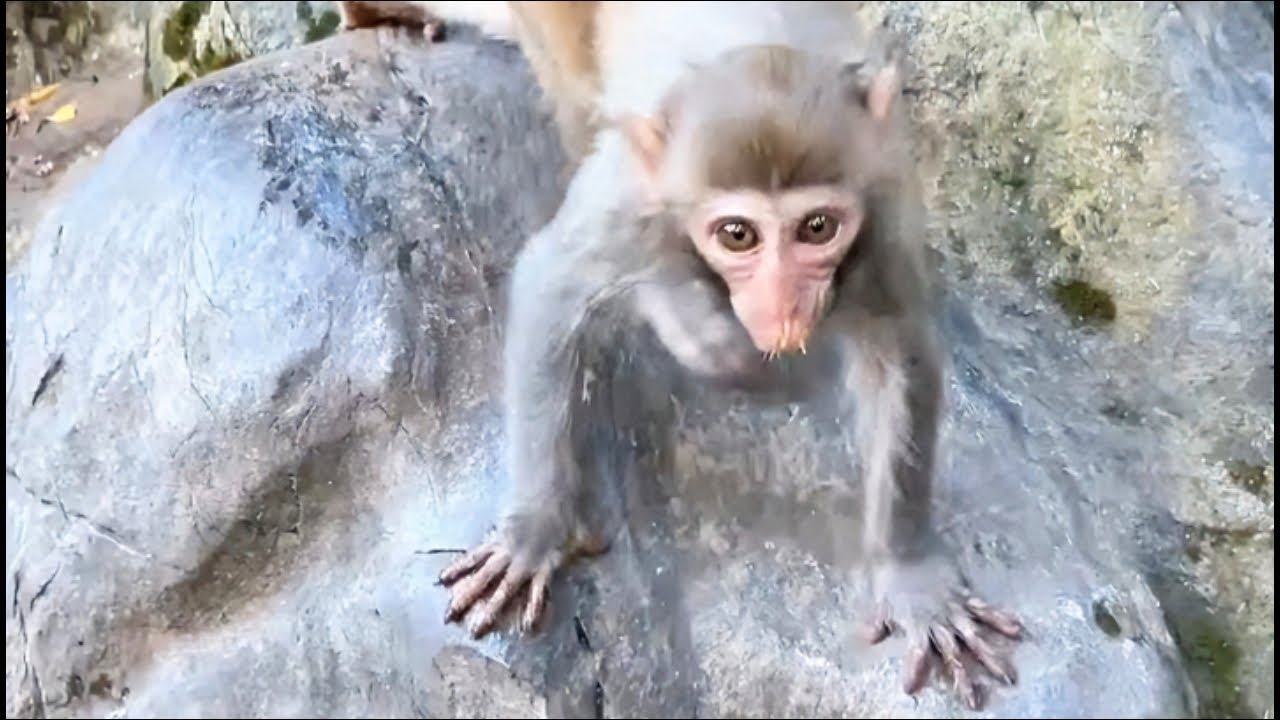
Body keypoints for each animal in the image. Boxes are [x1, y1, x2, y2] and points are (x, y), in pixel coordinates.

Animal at [359, 1, 1025, 709]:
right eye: (738, 235)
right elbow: (550, 288)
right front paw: (535, 529)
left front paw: (911, 576)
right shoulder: (631, 201)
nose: (783, 302)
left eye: (817, 227)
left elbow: (901, 350)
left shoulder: (886, 200)